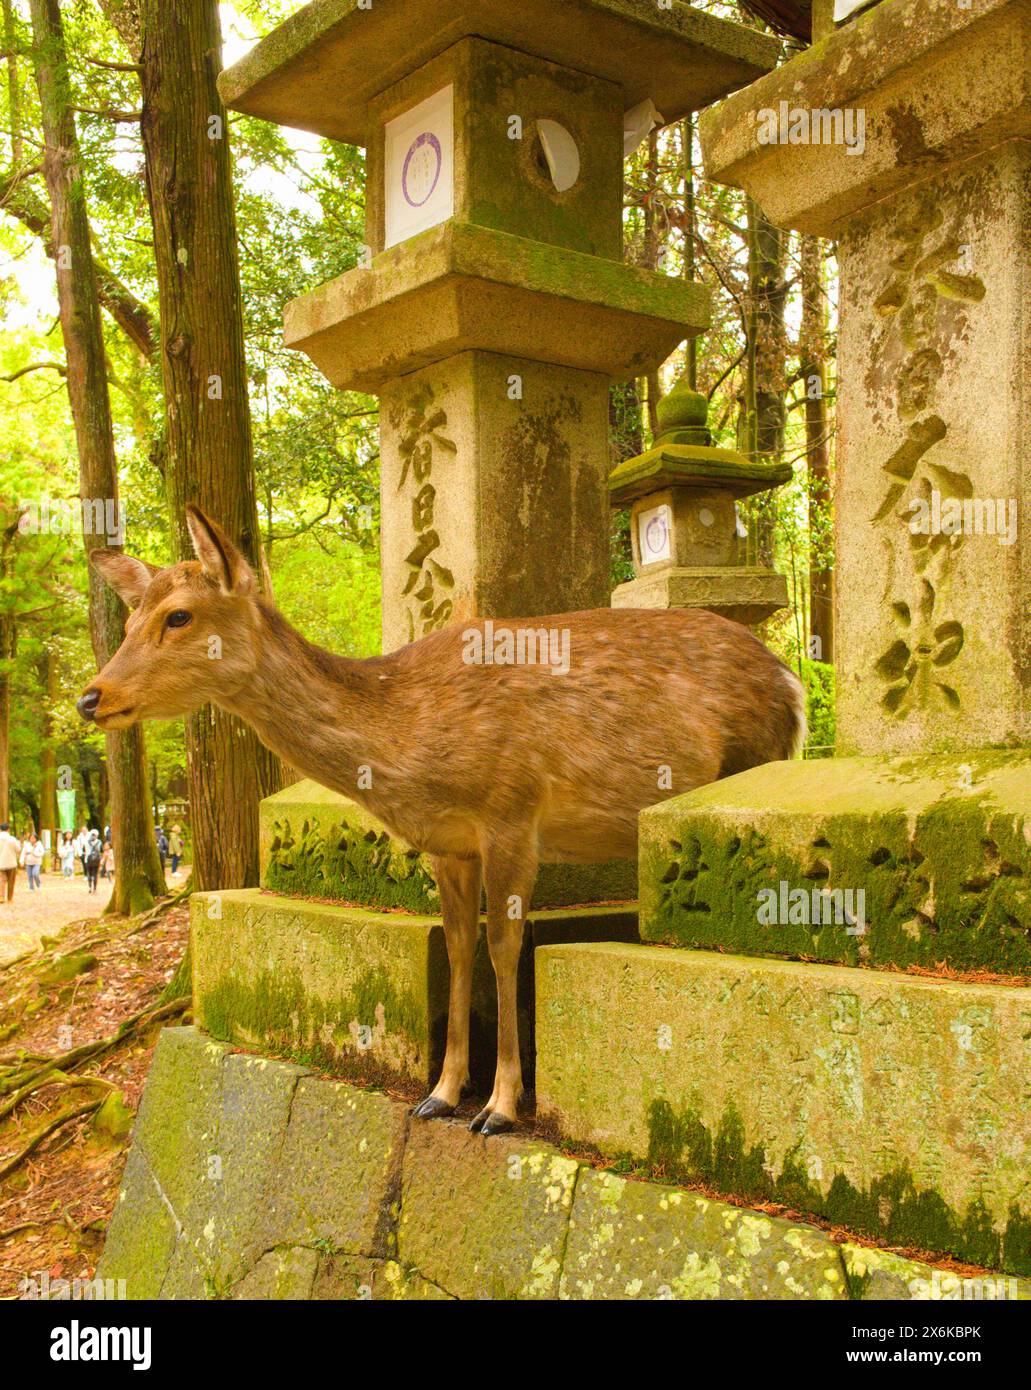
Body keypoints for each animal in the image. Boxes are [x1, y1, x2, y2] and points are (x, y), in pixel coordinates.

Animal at [80, 506, 806, 1136]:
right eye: (130, 619)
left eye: (178, 615)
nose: (92, 696)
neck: (408, 745)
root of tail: (791, 680)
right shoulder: (448, 844)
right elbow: (457, 948)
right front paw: (441, 1093)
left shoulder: (511, 811)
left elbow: (505, 948)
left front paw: (502, 1107)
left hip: (754, 759)